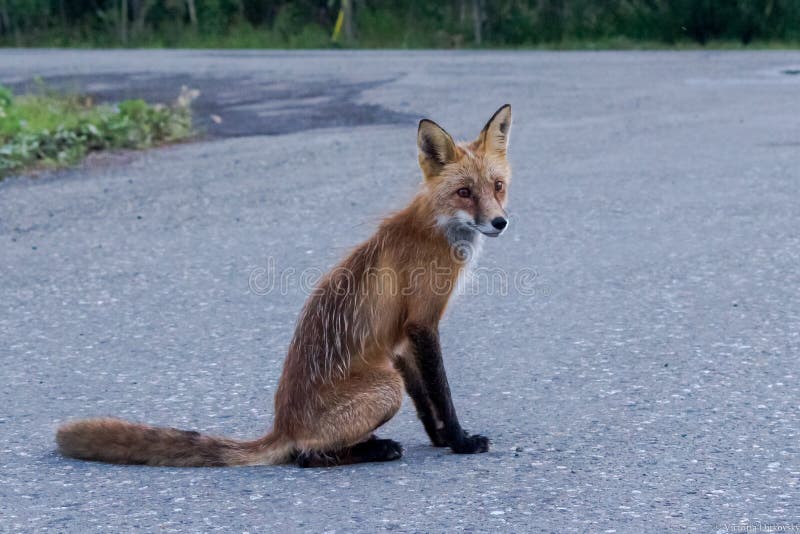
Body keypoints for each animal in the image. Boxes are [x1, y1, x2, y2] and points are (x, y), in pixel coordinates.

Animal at [56, 104, 513, 468]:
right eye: (464, 192)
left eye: (497, 186)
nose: (500, 222)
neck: (437, 229)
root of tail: (283, 424)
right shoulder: (422, 322)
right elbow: (442, 392)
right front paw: (460, 442)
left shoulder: (400, 340)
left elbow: (425, 402)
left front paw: (440, 441)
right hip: (386, 387)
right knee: (305, 456)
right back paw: (376, 449)